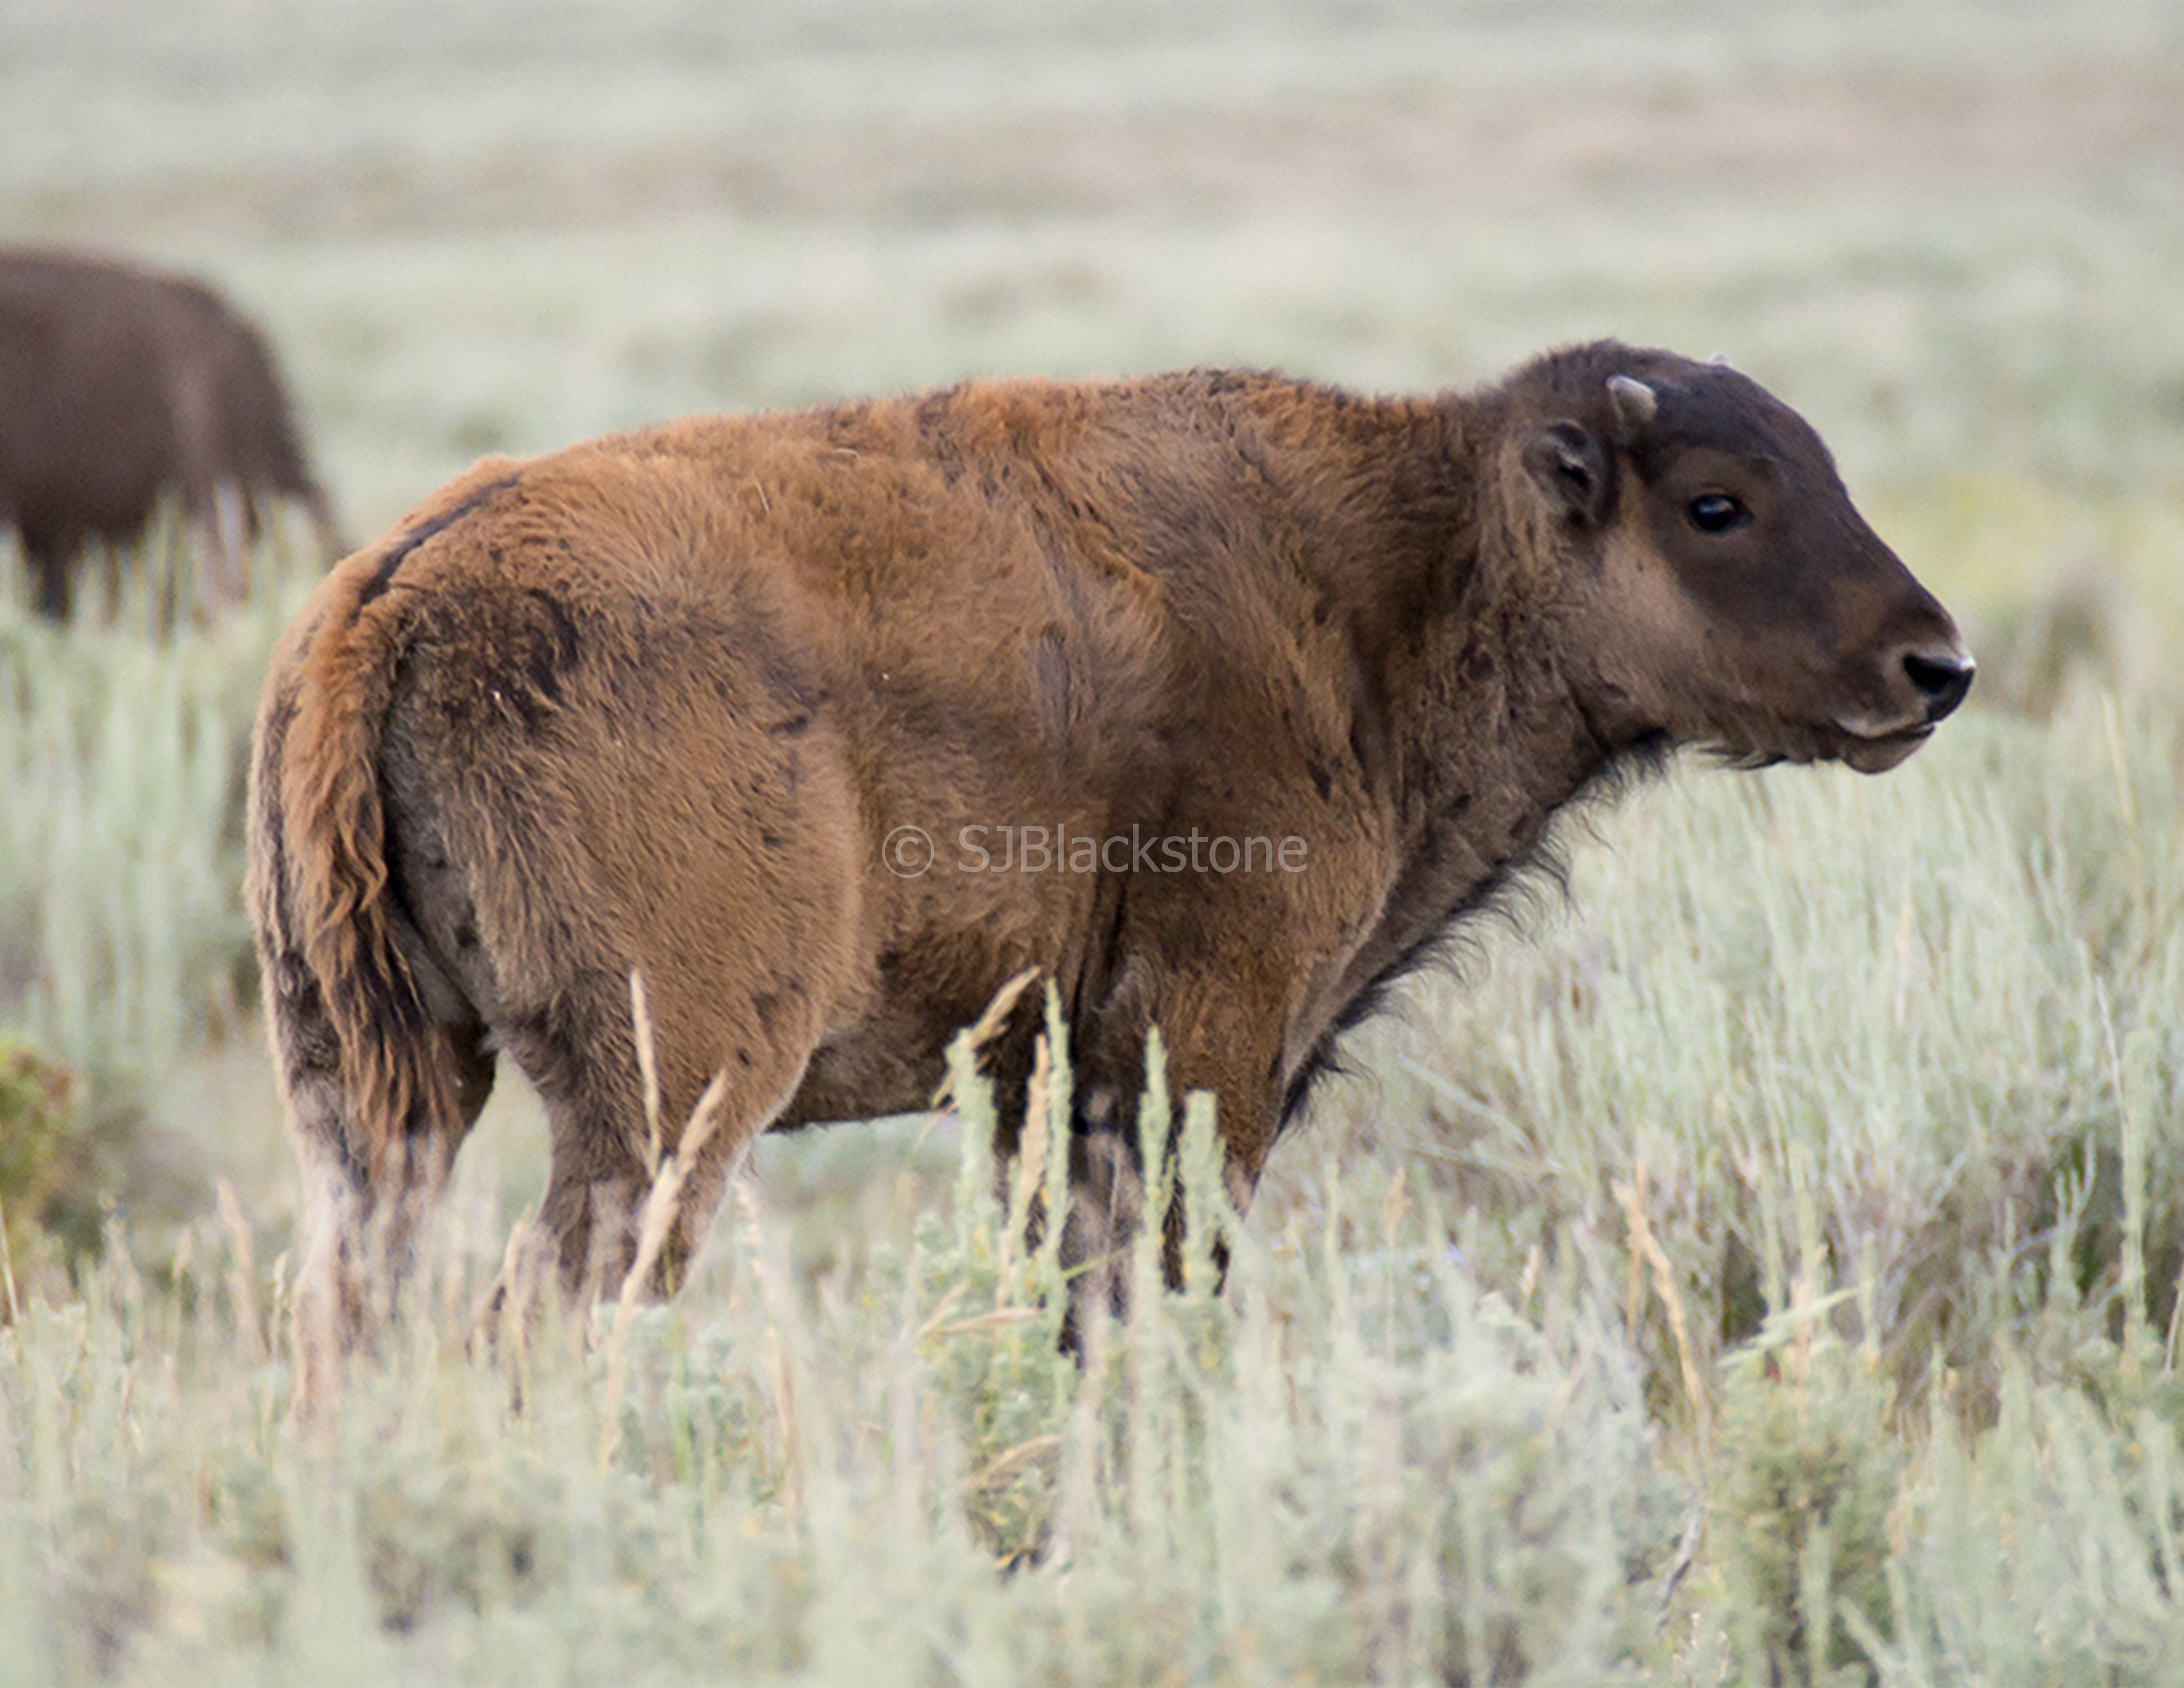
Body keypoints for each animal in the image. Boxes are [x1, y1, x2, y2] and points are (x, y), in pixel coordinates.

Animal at [247, 341, 1972, 1401]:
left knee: (350, 1314)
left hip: (371, 1085)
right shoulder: (1206, 1047)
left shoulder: (1047, 1081)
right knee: (539, 1320)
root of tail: (381, 600)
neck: (1398, 576)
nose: (1934, 666)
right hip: (669, 1101)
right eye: (1714, 504)